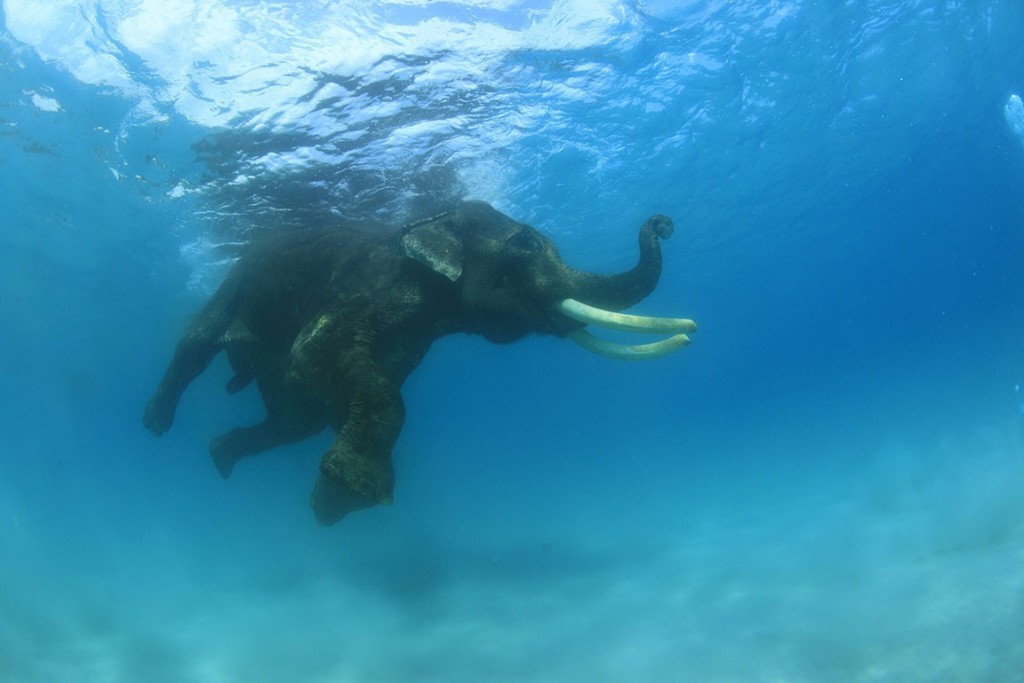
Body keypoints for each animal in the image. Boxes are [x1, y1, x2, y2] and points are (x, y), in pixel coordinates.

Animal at [143, 200, 697, 525]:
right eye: (525, 244)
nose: (665, 223)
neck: (424, 224)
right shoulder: (366, 292)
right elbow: (319, 358)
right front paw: (357, 490)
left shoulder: (414, 335)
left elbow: (342, 393)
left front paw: (331, 504)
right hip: (232, 288)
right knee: (194, 348)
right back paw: (155, 423)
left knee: (294, 421)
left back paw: (220, 457)